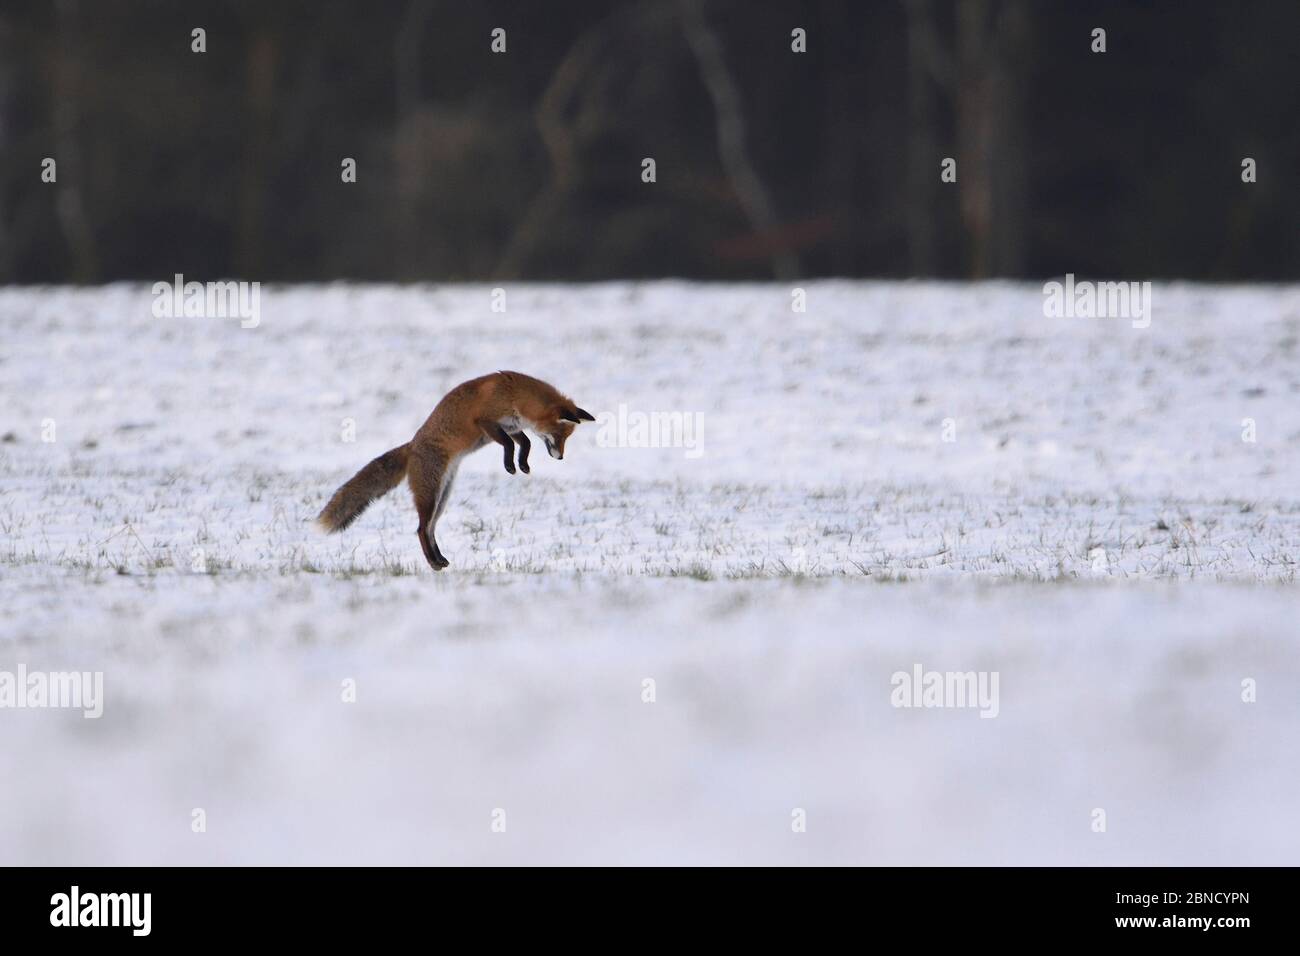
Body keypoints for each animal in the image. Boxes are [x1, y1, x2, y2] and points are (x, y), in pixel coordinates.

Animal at [316, 371, 595, 571]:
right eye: (561, 435)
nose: (561, 457)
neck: (513, 394)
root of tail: (412, 446)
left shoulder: (511, 426)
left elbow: (524, 442)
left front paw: (522, 464)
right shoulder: (486, 422)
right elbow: (509, 443)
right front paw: (510, 465)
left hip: (442, 496)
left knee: (429, 528)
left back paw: (440, 559)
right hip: (431, 494)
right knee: (420, 529)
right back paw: (433, 563)